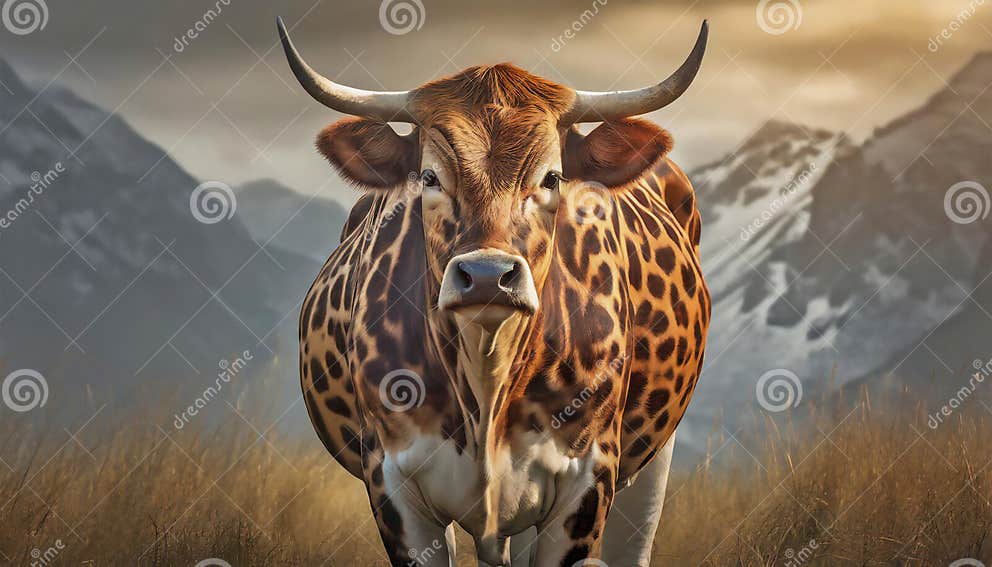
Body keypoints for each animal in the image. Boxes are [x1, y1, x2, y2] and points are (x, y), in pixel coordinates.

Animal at [280, 16, 710, 567]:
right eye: (429, 176)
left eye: (552, 178)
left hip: (652, 460)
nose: (487, 275)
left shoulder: (586, 482)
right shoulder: (392, 482)